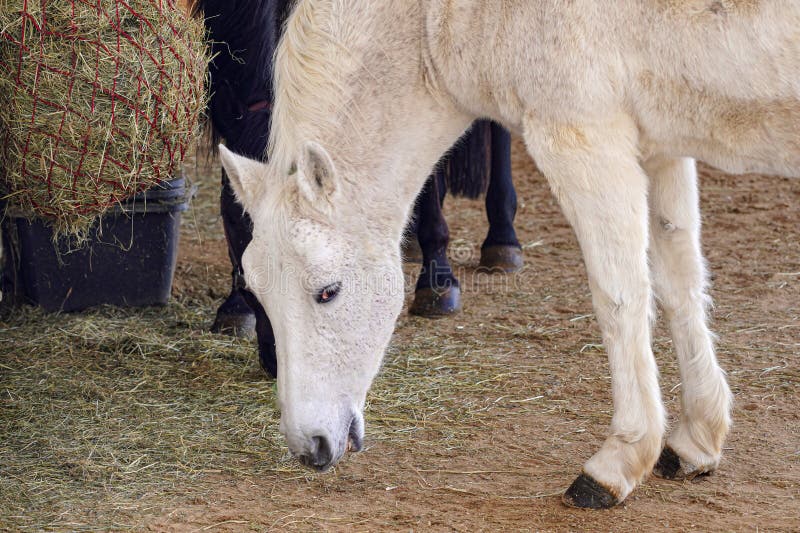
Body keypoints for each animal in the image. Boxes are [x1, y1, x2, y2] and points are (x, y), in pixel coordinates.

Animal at [217, 0, 800, 509]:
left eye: (328, 292)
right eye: (256, 293)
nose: (308, 447)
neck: (436, 15)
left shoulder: (585, 141)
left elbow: (620, 301)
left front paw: (617, 462)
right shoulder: (658, 143)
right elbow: (679, 284)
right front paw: (697, 438)